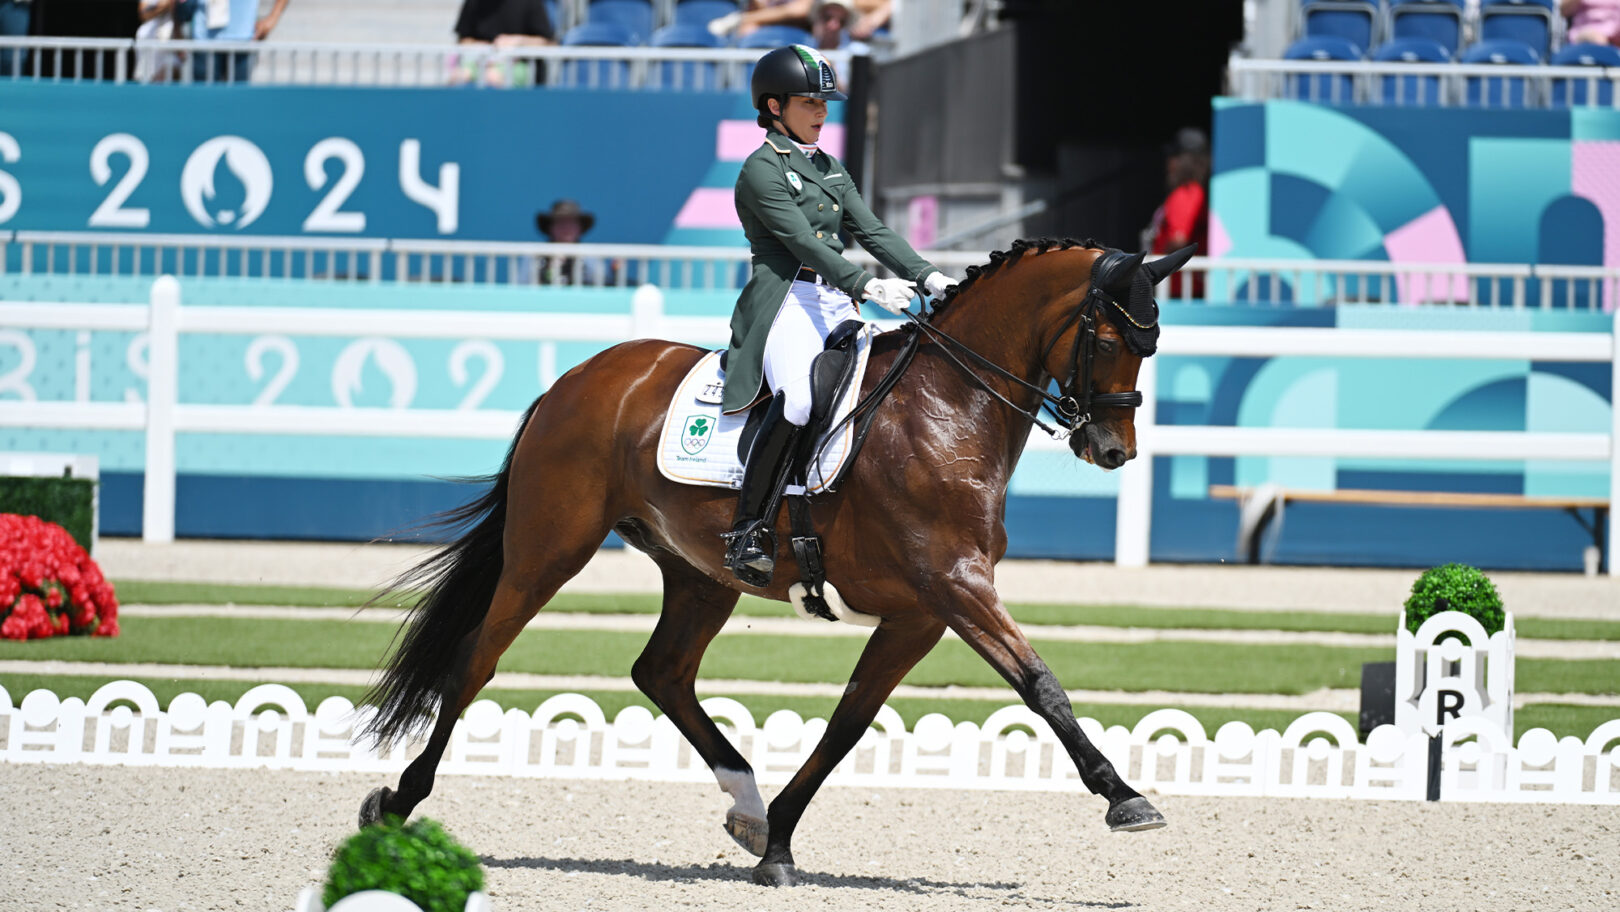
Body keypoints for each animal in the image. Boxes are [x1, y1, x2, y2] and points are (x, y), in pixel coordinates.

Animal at [357, 237, 1197, 887]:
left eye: (1152, 346)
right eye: (1111, 341)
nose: (1113, 451)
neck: (947, 408)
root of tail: (581, 376)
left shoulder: (919, 613)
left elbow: (849, 722)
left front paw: (781, 842)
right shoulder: (955, 588)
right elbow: (1040, 685)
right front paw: (1126, 797)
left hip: (701, 574)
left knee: (662, 672)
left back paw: (749, 809)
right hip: (547, 551)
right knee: (476, 660)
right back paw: (396, 804)